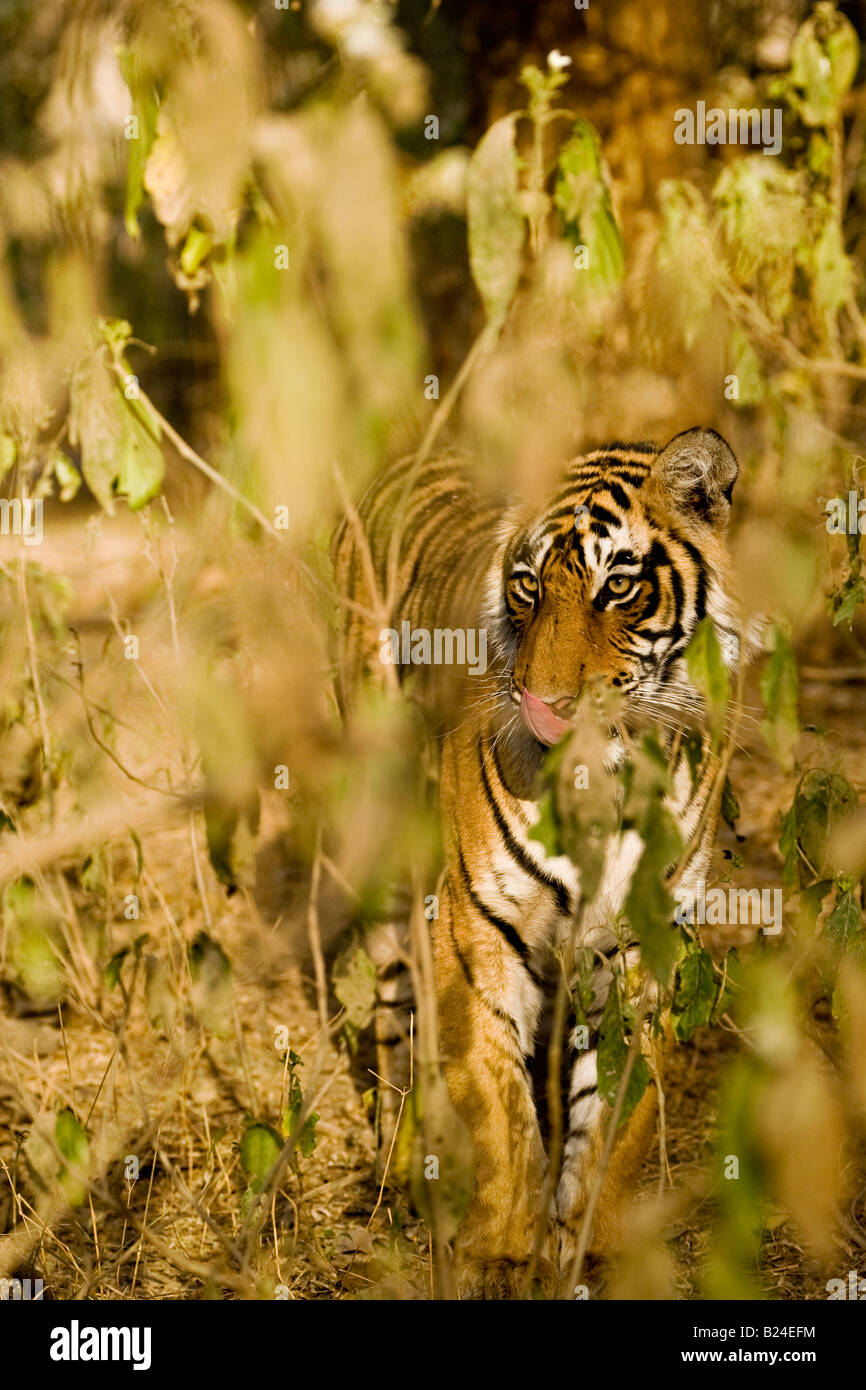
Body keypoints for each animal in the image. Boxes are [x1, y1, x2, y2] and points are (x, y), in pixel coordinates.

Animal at [332, 427, 748, 1299]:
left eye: (617, 586)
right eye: (527, 587)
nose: (542, 702)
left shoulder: (645, 945)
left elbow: (616, 1121)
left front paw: (590, 1250)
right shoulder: (477, 931)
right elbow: (499, 1106)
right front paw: (500, 1258)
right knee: (393, 1005)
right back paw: (399, 1166)